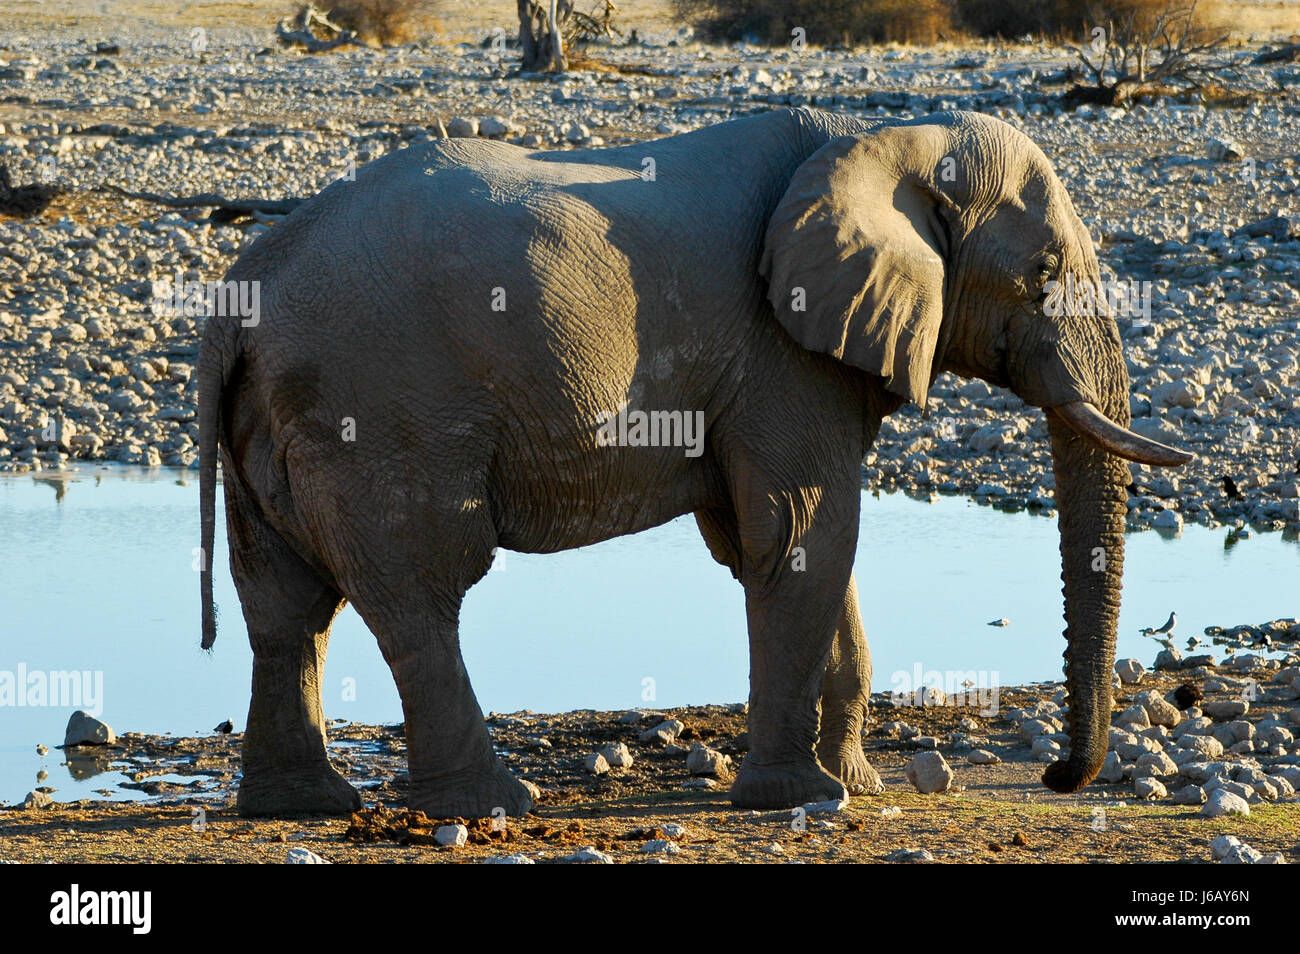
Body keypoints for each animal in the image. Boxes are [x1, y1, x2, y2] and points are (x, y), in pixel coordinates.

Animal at [197, 106, 1192, 818]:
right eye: (1044, 270)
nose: (1060, 778)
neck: (885, 139)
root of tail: (237, 295)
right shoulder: (779, 350)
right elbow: (801, 532)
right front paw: (800, 798)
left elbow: (798, 540)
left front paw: (854, 786)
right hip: (381, 410)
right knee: (421, 590)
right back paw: (493, 805)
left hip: (278, 422)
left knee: (285, 607)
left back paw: (302, 807)